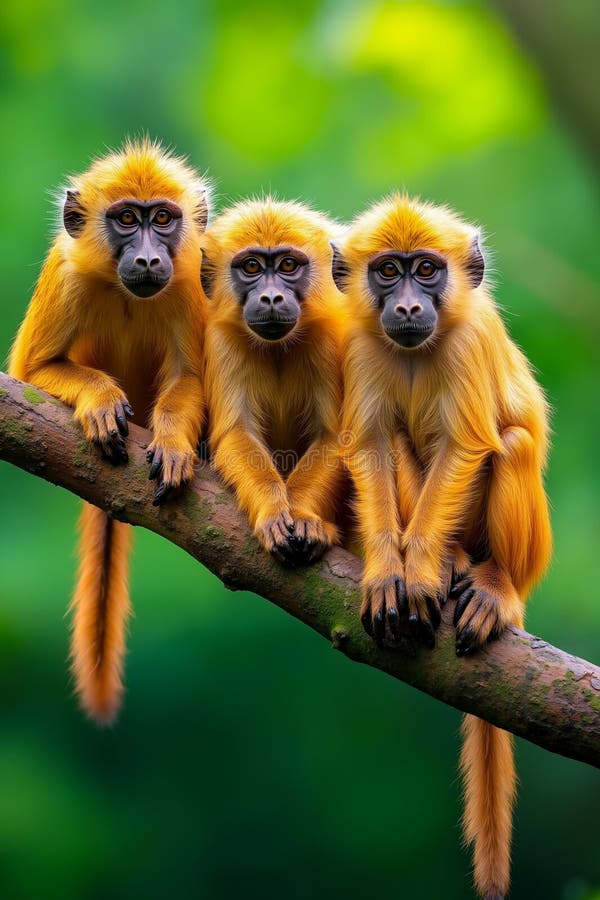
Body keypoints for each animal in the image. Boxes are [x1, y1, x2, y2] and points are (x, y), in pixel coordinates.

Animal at [8, 139, 210, 724]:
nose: (146, 258)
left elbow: (191, 379)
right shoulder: (65, 272)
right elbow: (30, 373)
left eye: (162, 219)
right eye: (126, 219)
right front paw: (99, 402)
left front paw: (173, 445)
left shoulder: (192, 274)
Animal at [200, 198, 346, 565]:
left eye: (288, 265)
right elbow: (236, 433)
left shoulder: (329, 336)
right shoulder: (222, 340)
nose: (270, 297)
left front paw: (304, 516)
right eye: (252, 267)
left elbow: (335, 436)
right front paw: (273, 511)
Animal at [333, 194, 552, 899]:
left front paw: (423, 574)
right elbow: (372, 444)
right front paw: (389, 575)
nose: (406, 307)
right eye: (389, 272)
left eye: (426, 271)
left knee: (510, 443)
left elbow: (469, 445)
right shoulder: (361, 345)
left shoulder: (469, 339)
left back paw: (490, 584)